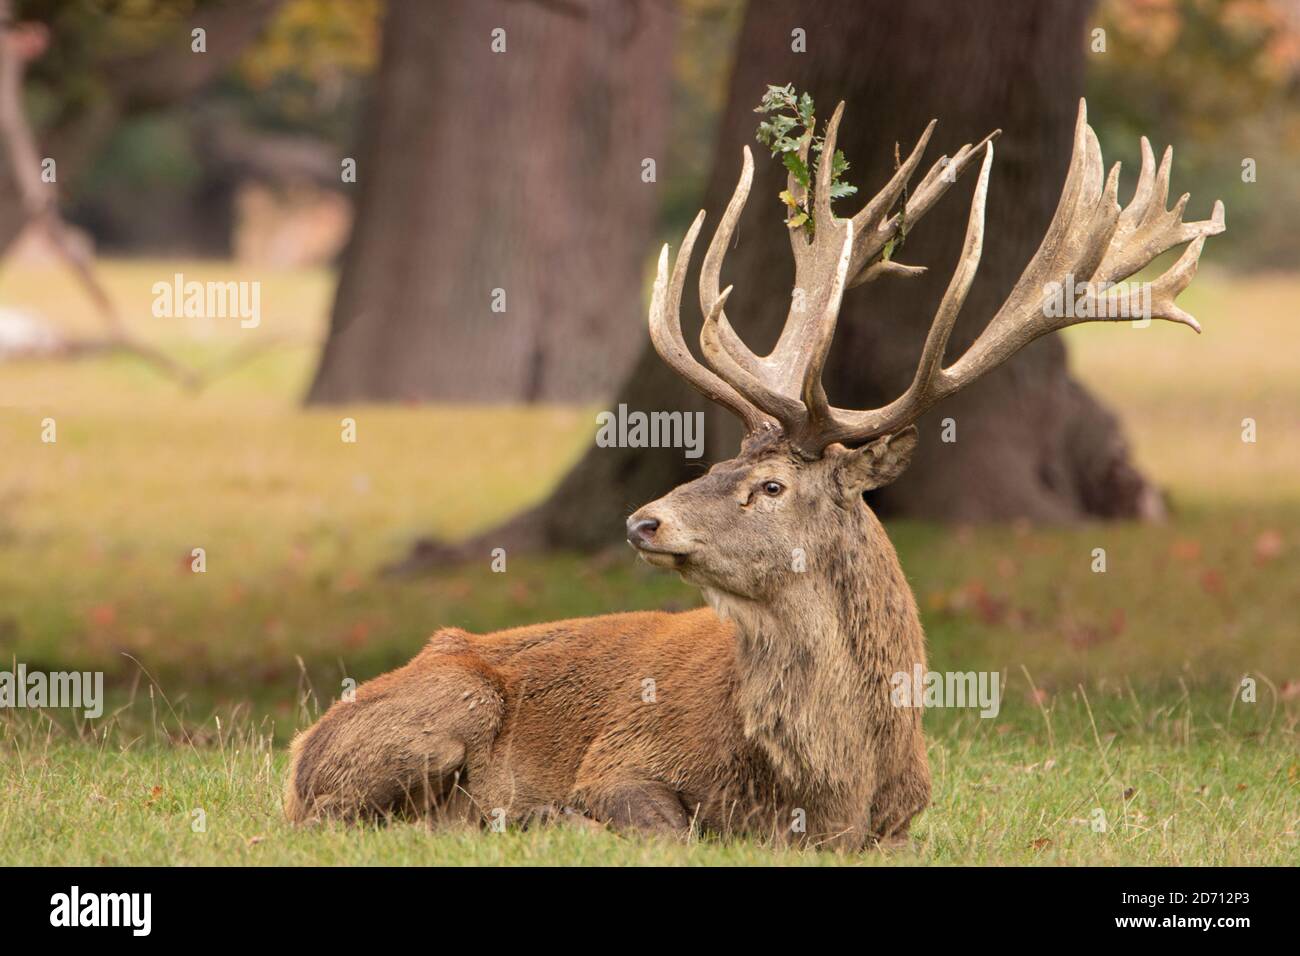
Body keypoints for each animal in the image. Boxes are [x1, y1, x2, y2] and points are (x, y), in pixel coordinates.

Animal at [285, 99, 1223, 849]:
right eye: (721, 460)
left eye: (770, 486)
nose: (644, 520)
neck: (822, 798)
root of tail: (296, 751)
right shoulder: (621, 763)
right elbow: (666, 829)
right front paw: (552, 816)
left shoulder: (907, 823)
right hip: (444, 708)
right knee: (340, 816)